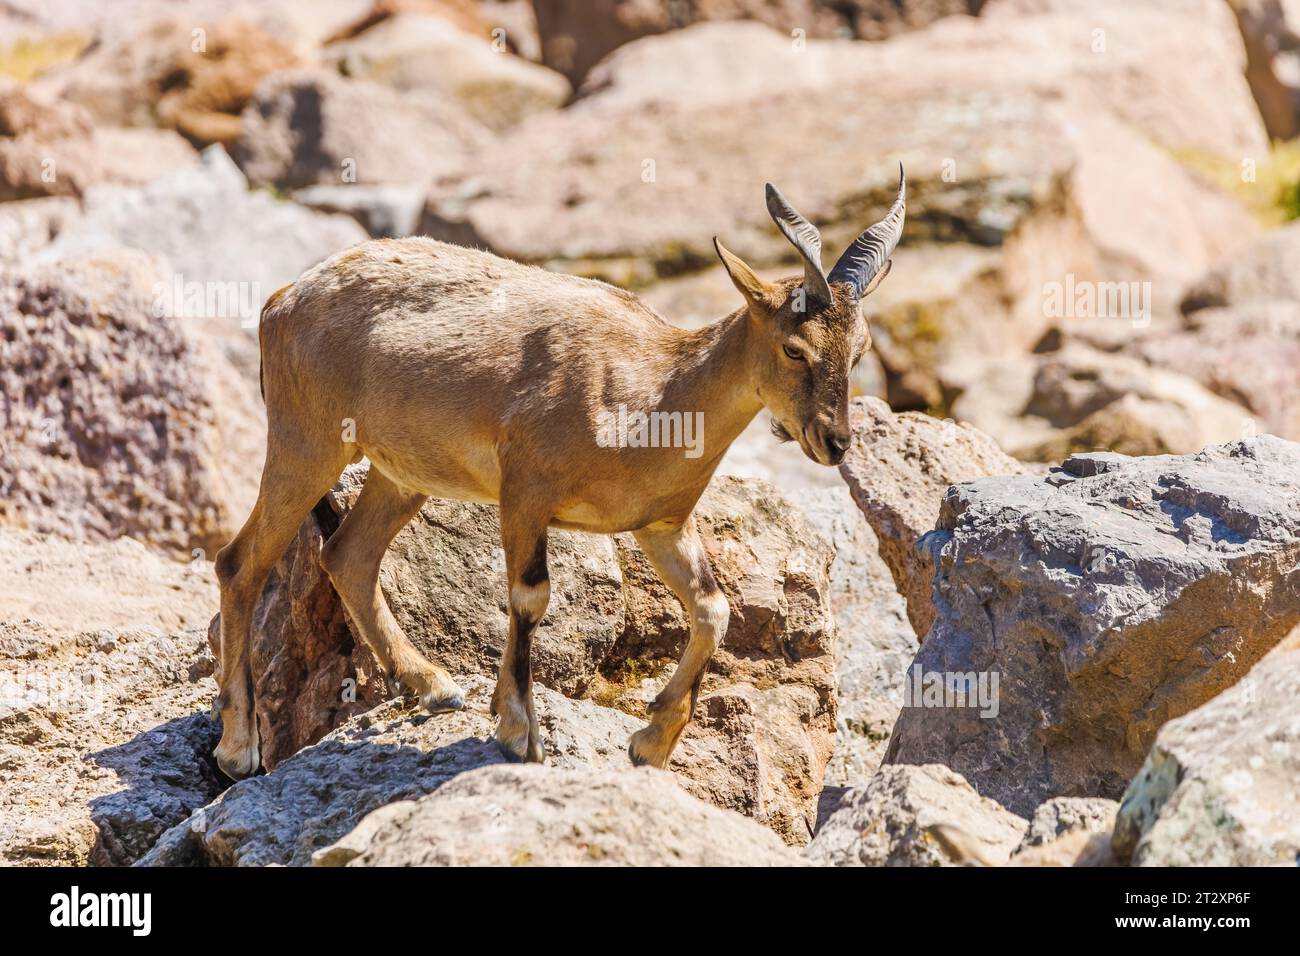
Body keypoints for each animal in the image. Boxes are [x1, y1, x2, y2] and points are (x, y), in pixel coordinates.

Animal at [211, 170, 905, 779]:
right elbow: (530, 596)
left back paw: (434, 686)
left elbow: (713, 608)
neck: (652, 391)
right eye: (795, 347)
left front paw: (651, 741)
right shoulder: (524, 493)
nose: (835, 442)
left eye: (860, 350)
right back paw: (239, 749)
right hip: (307, 444)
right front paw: (520, 732)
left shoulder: (660, 523)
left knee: (347, 555)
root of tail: (281, 301)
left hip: (399, 476)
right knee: (240, 563)